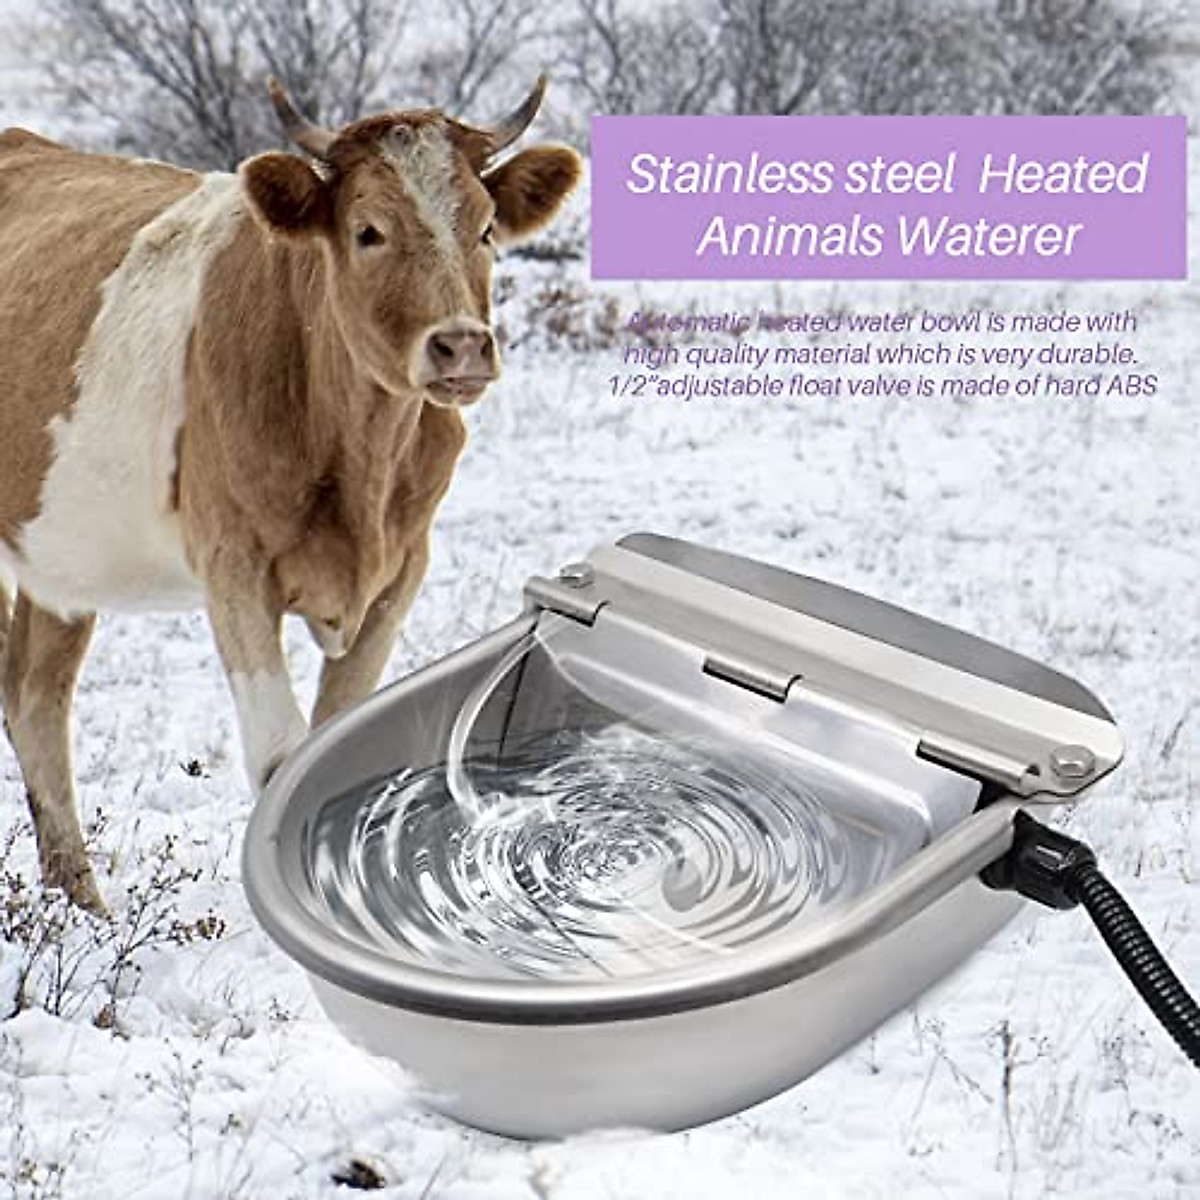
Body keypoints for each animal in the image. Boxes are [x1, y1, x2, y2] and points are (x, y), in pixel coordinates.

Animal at [0, 77, 581, 913]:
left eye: (486, 227)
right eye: (368, 231)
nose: (462, 346)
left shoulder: (403, 569)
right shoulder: (233, 565)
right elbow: (280, 752)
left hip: (62, 555)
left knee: (36, 697)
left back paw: (81, 908)